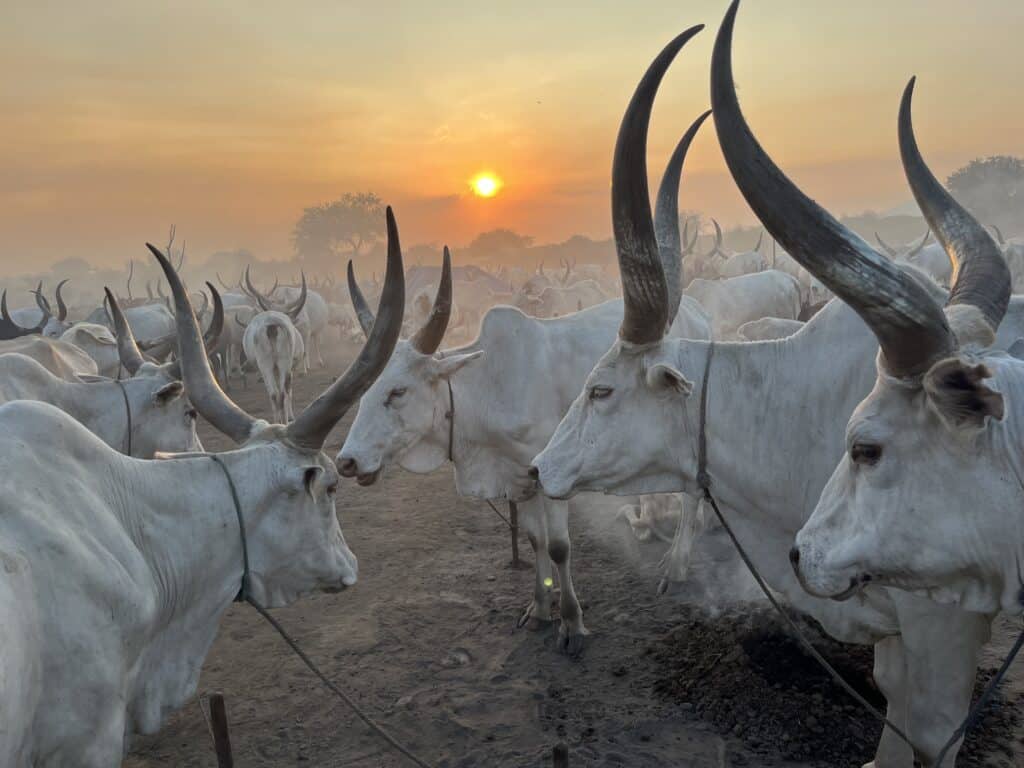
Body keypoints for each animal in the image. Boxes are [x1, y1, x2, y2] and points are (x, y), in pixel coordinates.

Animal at [337, 93, 714, 658]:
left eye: (397, 392)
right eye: (364, 393)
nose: (346, 461)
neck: (485, 391)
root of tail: (695, 314)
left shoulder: (546, 478)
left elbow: (558, 547)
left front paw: (572, 623)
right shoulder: (521, 481)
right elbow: (535, 543)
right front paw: (538, 610)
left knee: (691, 494)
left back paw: (678, 565)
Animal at [531, 11, 1024, 765]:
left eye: (601, 390)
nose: (538, 469)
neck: (795, 417)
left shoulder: (944, 625)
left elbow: (933, 729)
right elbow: (892, 703)